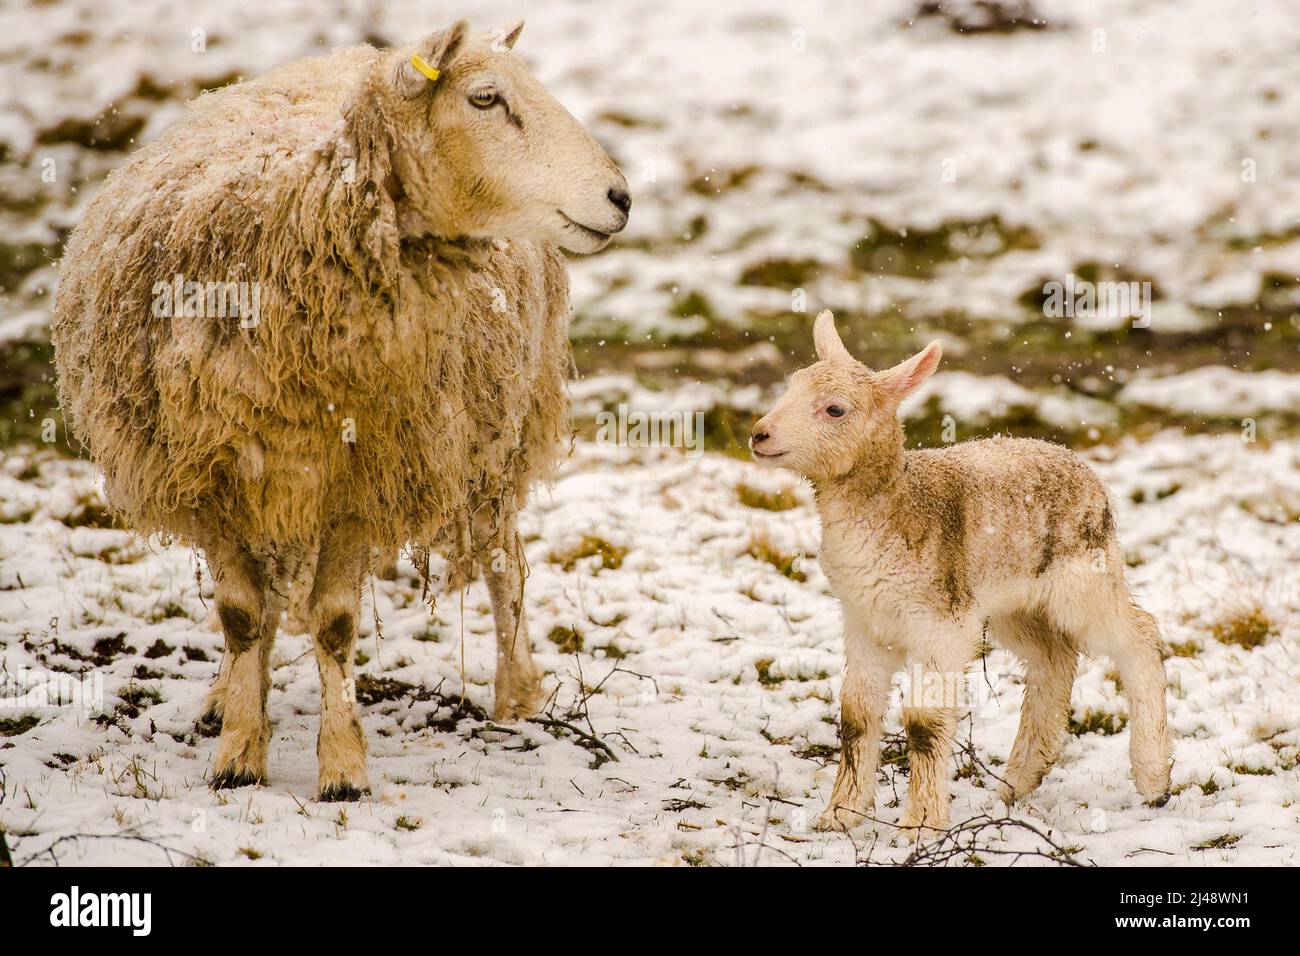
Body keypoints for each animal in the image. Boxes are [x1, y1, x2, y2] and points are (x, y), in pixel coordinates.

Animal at [51, 20, 630, 800]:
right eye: (485, 98)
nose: (620, 196)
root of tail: (359, 53)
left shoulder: (365, 476)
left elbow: (331, 624)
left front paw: (343, 769)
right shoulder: (210, 474)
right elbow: (241, 615)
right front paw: (239, 751)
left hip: (497, 431)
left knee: (503, 560)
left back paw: (516, 697)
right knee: (263, 606)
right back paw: (225, 697)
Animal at [750, 311, 1171, 832]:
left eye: (835, 410)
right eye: (789, 387)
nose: (760, 434)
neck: (897, 502)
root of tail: (1085, 470)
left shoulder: (940, 623)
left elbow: (923, 721)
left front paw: (921, 823)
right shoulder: (864, 618)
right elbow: (856, 714)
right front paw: (839, 815)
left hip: (1086, 576)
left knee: (1139, 636)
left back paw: (1153, 779)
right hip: (1016, 602)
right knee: (1053, 658)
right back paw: (1017, 782)